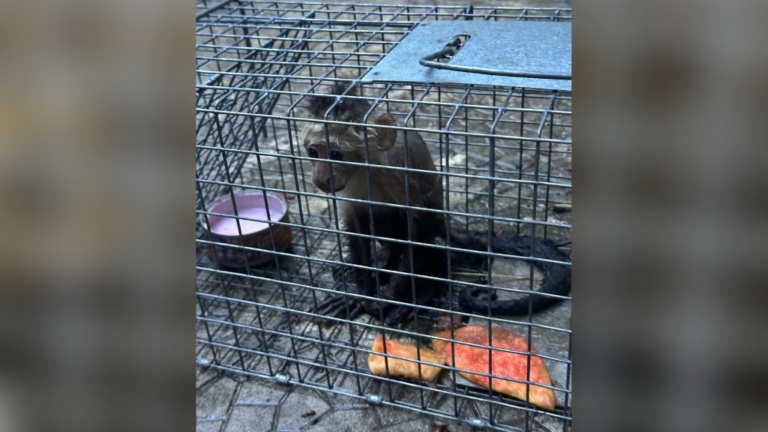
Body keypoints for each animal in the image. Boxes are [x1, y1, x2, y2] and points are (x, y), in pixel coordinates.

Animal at [299, 82, 571, 325]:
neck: (367, 169)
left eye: (336, 155)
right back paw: (385, 257)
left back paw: (428, 283)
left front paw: (394, 296)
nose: (320, 177)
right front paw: (360, 296)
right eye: (314, 153)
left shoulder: (397, 174)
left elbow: (418, 224)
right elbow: (356, 223)